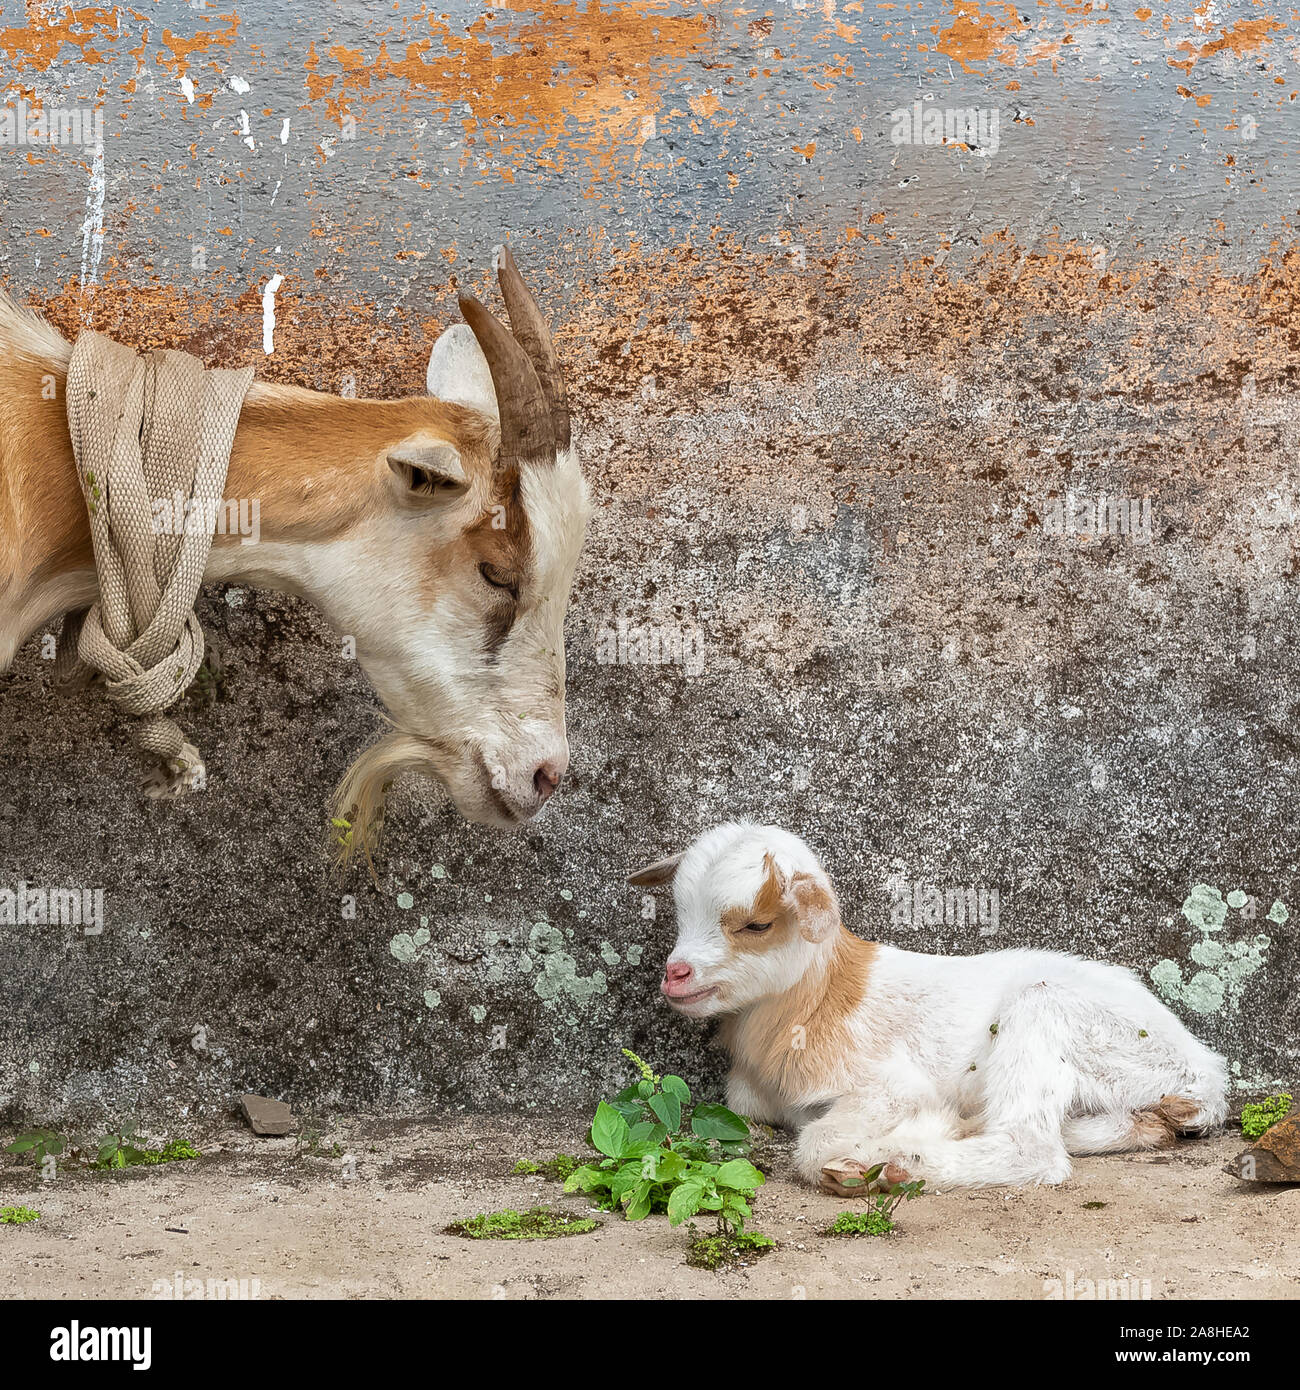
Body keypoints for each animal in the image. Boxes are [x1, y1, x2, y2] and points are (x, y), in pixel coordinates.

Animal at [631, 822, 1229, 1192]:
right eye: (680, 914)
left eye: (756, 924)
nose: (675, 975)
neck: (815, 1003)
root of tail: (1208, 1073)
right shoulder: (752, 1096)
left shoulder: (890, 1083)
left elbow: (816, 1143)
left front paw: (882, 1148)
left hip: (1055, 1018)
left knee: (1033, 1147)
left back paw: (898, 1162)